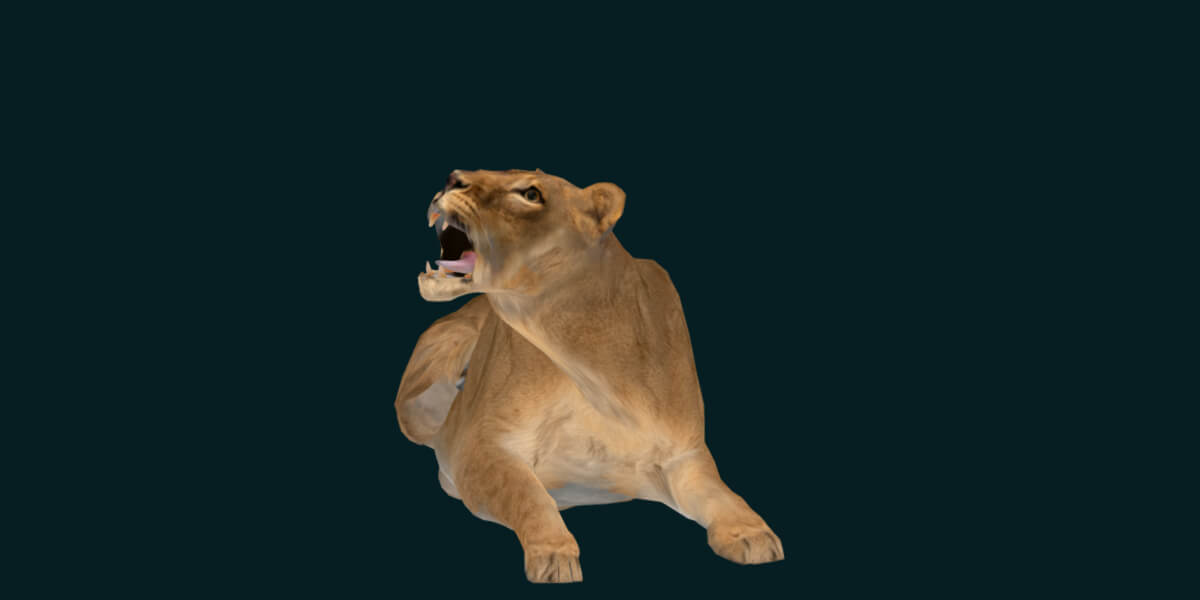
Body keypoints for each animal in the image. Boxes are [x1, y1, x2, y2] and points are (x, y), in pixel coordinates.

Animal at [395, 169, 783, 583]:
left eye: (531, 194)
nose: (452, 179)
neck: (591, 372)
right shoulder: (480, 446)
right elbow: (528, 494)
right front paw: (554, 554)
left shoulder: (684, 453)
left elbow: (722, 495)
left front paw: (751, 534)